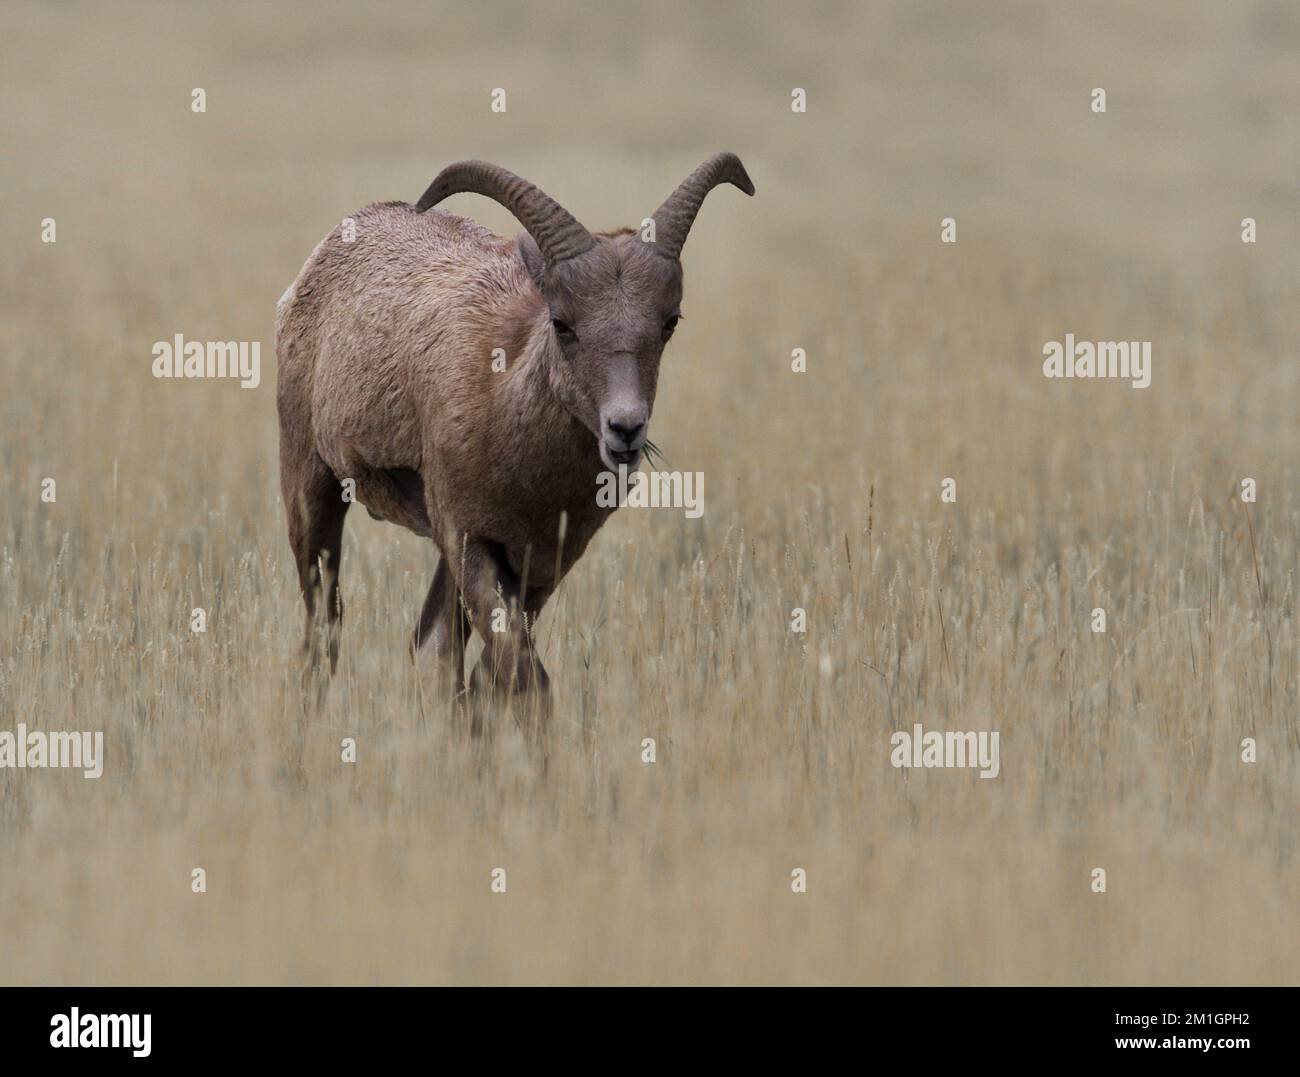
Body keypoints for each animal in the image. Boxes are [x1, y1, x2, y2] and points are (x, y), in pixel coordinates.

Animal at [276, 153, 754, 702]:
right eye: (562, 323)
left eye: (669, 322)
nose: (624, 429)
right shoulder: (471, 545)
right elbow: (525, 679)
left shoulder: (538, 564)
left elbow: (495, 674)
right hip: (312, 492)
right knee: (324, 631)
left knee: (430, 645)